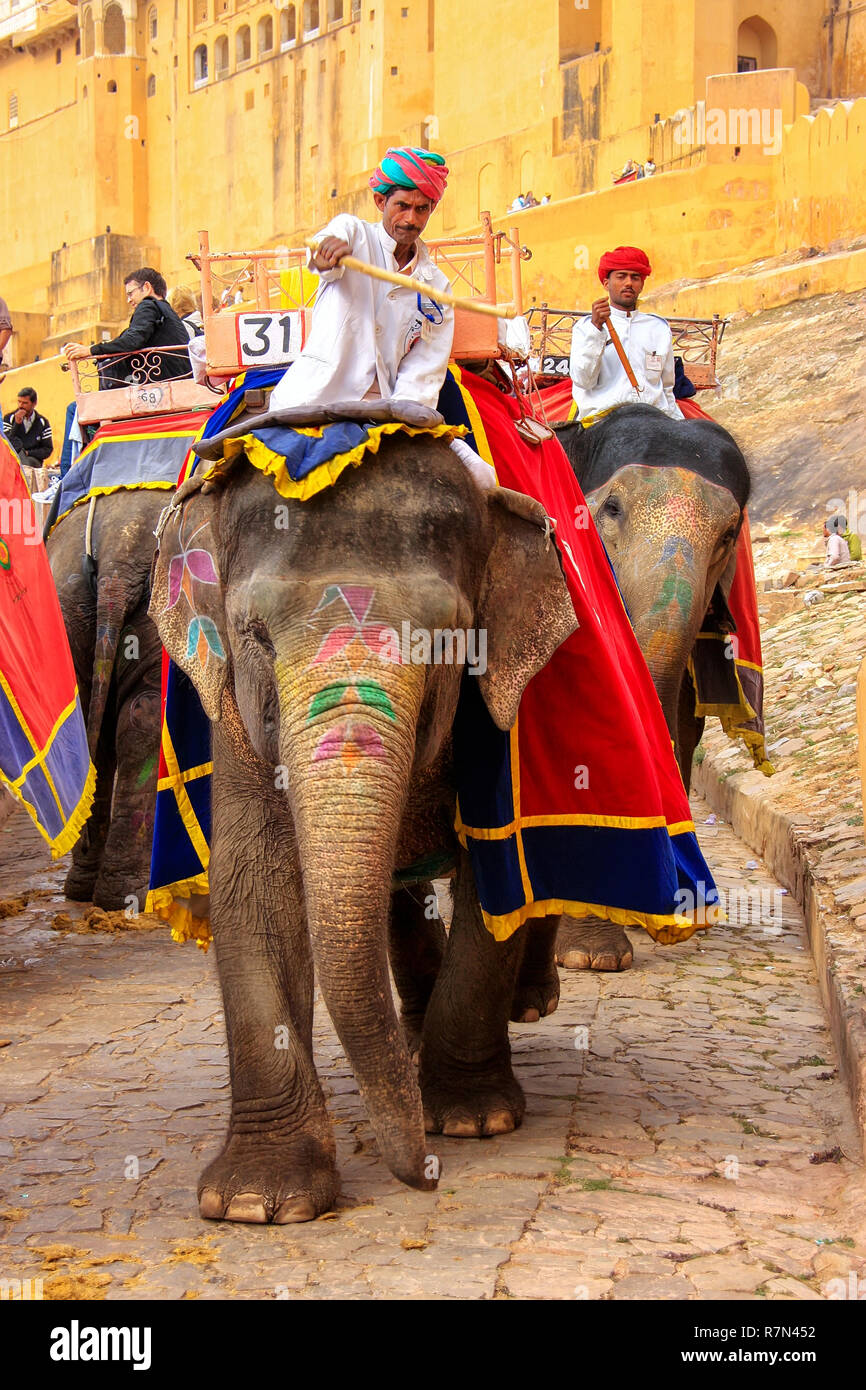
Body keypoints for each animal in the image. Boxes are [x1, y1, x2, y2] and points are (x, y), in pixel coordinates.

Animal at [47, 491, 165, 910]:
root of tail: (118, 553)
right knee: (145, 715)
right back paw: (129, 895)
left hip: (67, 607)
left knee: (87, 727)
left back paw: (86, 889)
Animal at [149, 430, 580, 1222]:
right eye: (254, 634)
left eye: (444, 640)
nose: (427, 1177)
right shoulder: (236, 714)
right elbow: (253, 879)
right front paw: (255, 1200)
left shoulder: (503, 710)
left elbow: (496, 871)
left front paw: (469, 1120)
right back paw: (409, 1033)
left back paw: (521, 1008)